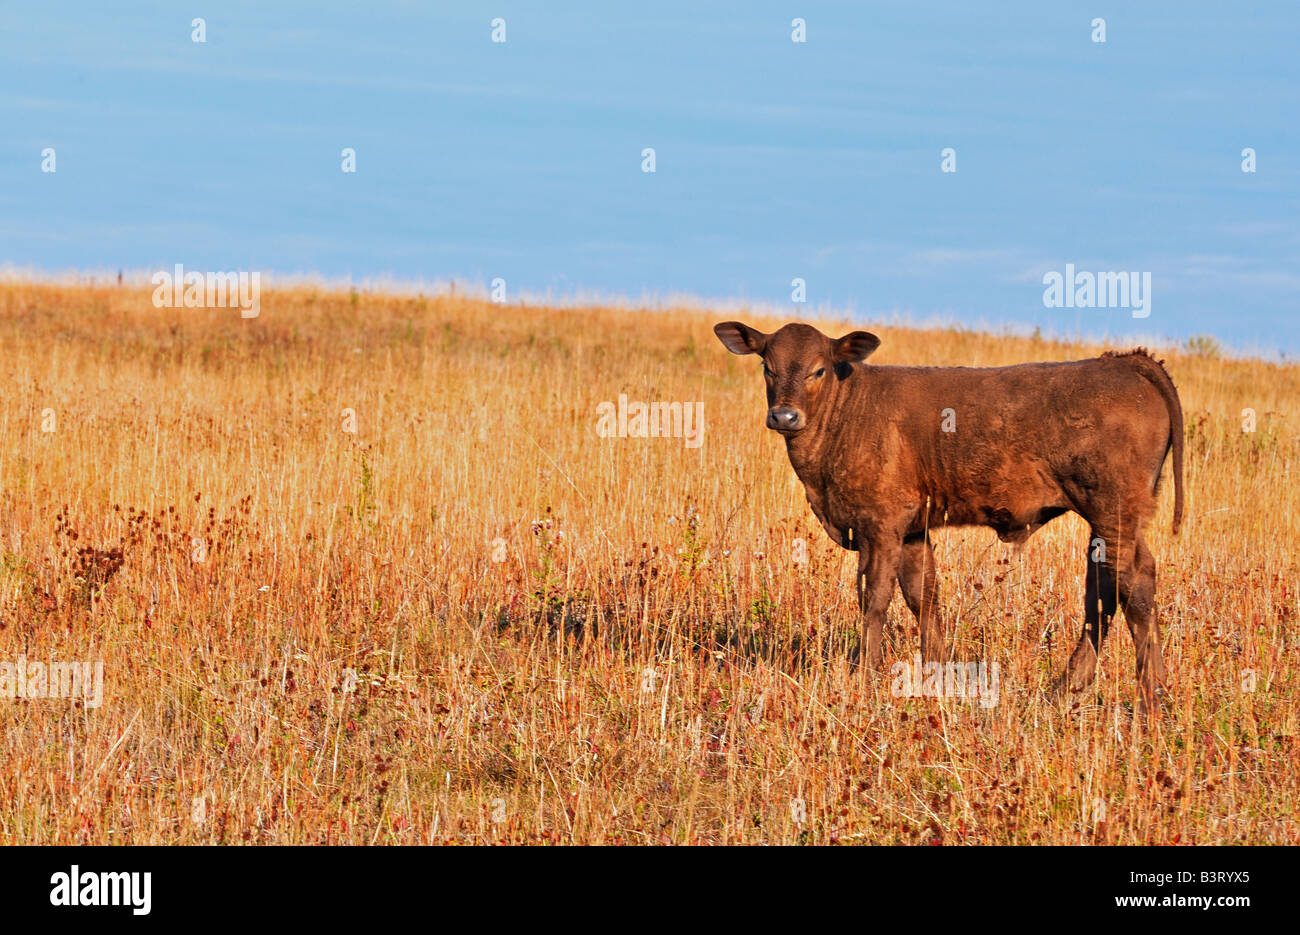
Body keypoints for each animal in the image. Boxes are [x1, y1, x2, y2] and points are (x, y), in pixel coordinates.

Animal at [713, 320, 1184, 712]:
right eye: (767, 367)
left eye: (819, 370)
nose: (784, 415)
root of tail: (1128, 361)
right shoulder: (911, 530)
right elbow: (923, 595)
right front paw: (938, 674)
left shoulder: (881, 524)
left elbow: (875, 597)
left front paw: (864, 676)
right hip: (1109, 522)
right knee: (1105, 589)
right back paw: (1068, 687)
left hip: (1115, 511)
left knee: (1133, 584)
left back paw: (1151, 698)